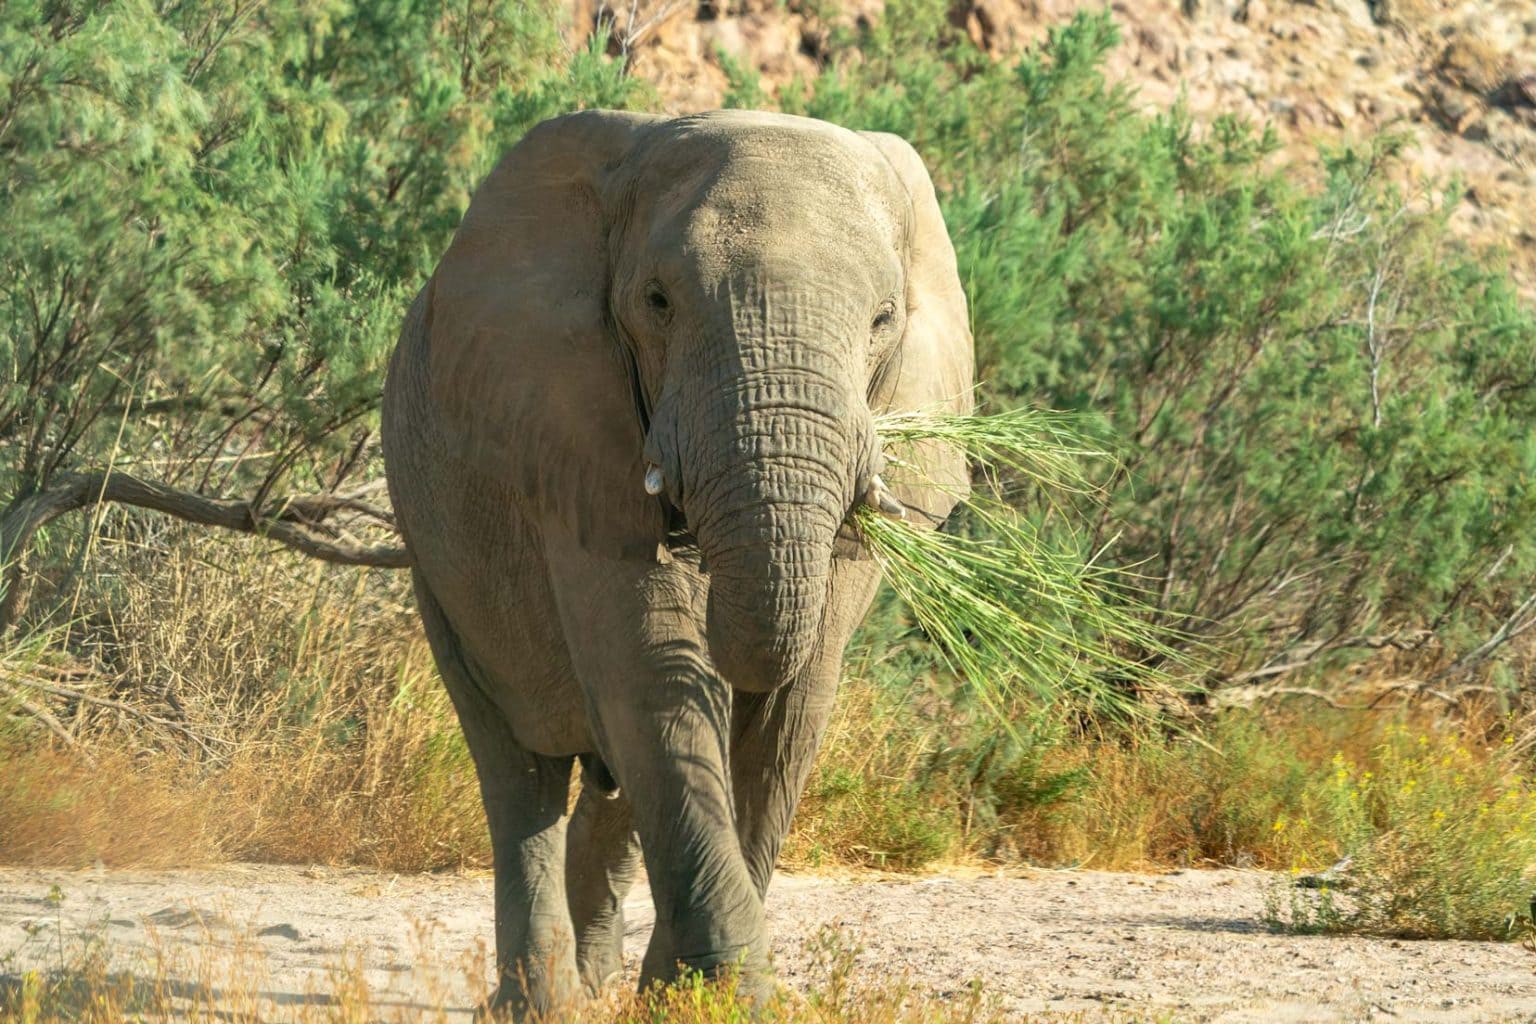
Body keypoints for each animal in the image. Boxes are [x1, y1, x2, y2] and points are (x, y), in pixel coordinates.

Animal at [380, 108, 974, 1018]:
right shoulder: (569, 428)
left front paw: (688, 999)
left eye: (882, 320)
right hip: (433, 557)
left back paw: (596, 983)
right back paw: (540, 1003)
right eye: (656, 303)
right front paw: (723, 994)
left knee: (615, 776)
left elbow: (792, 704)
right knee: (519, 770)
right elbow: (654, 671)